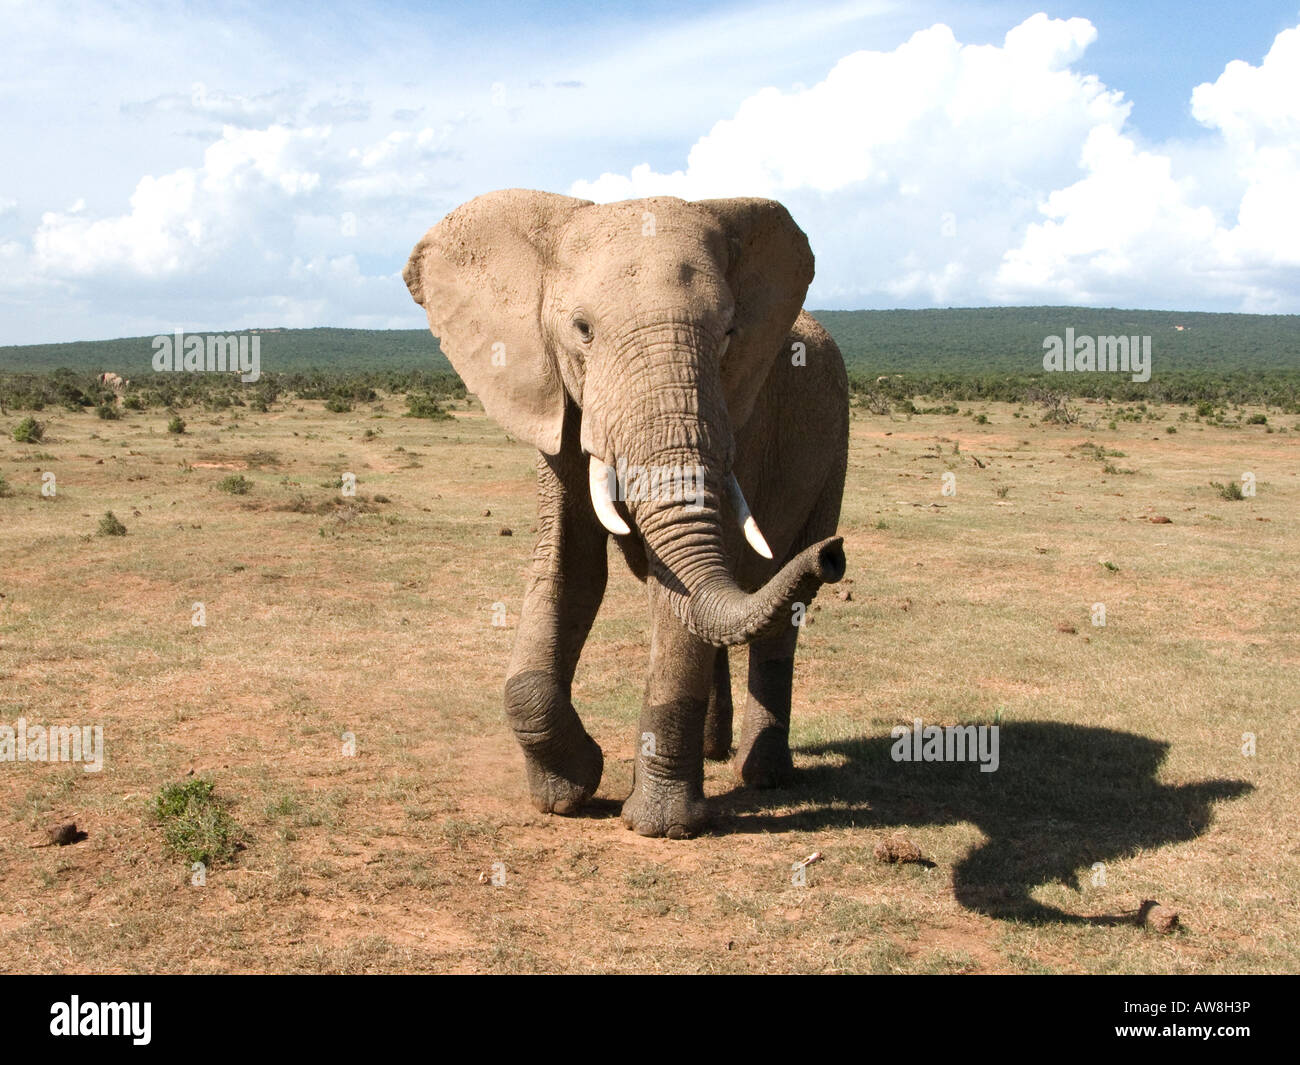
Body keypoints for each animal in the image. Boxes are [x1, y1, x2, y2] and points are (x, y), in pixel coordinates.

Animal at [404, 189, 848, 838]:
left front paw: (659, 826)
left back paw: (762, 776)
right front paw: (568, 791)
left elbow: (677, 592)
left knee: (777, 614)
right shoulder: (558, 400)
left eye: (729, 334)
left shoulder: (739, 415)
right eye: (582, 330)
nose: (834, 554)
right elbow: (570, 568)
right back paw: (714, 755)